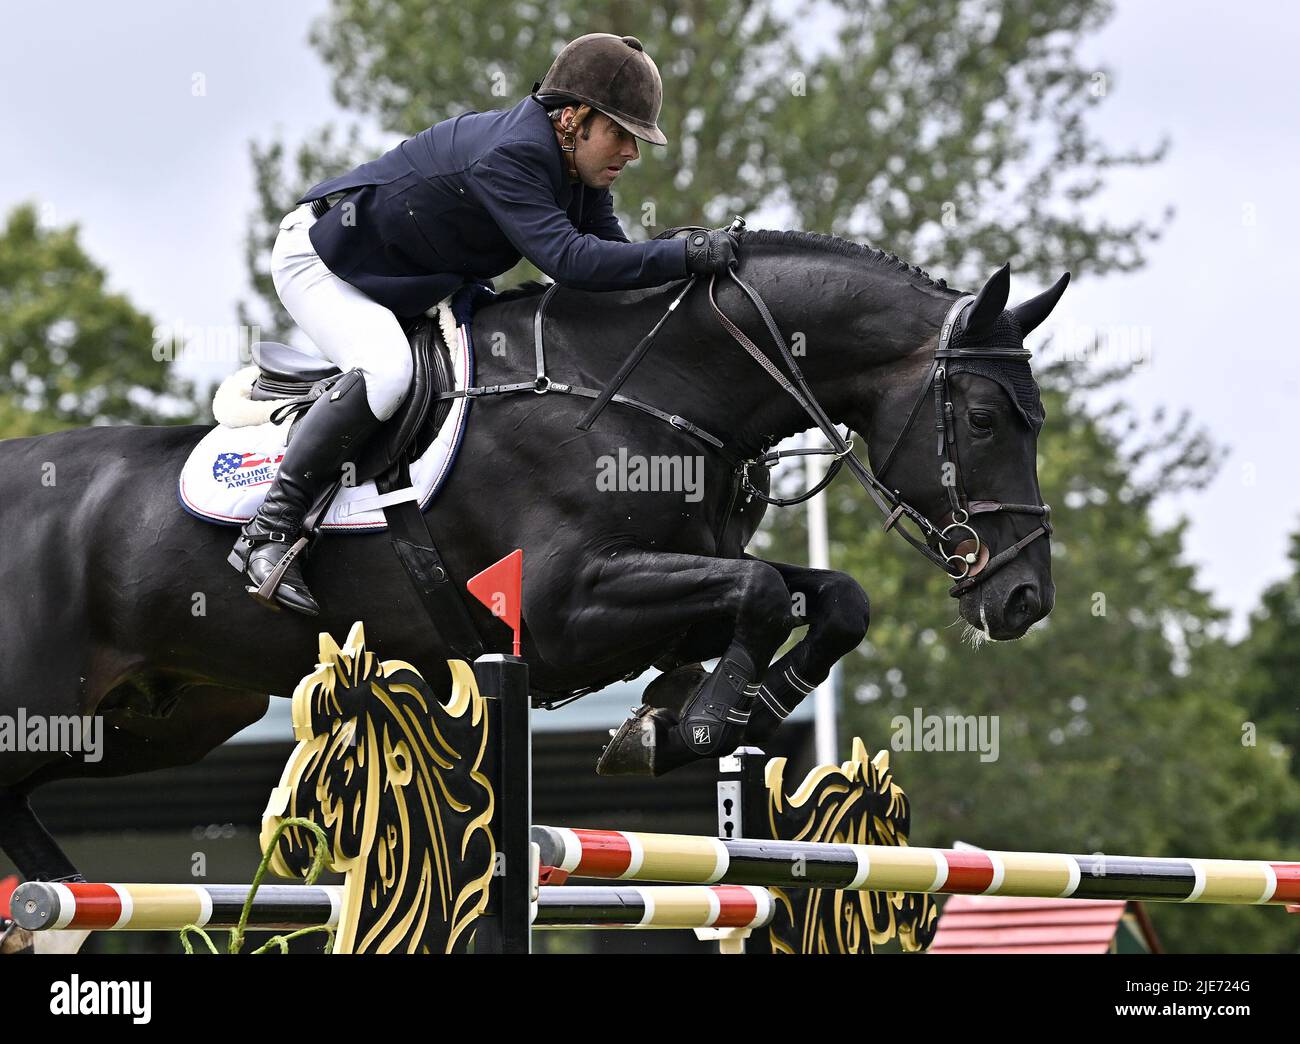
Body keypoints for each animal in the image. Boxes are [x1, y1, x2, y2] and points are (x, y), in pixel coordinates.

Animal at [0, 228, 1067, 883]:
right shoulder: (564, 610)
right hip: (43, 705)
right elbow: (763, 591)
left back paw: (58, 901)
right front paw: (685, 725)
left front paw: (707, 715)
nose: (1024, 599)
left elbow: (831, 598)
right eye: (982, 417)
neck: (650, 388)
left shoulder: (668, 583)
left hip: (153, 721)